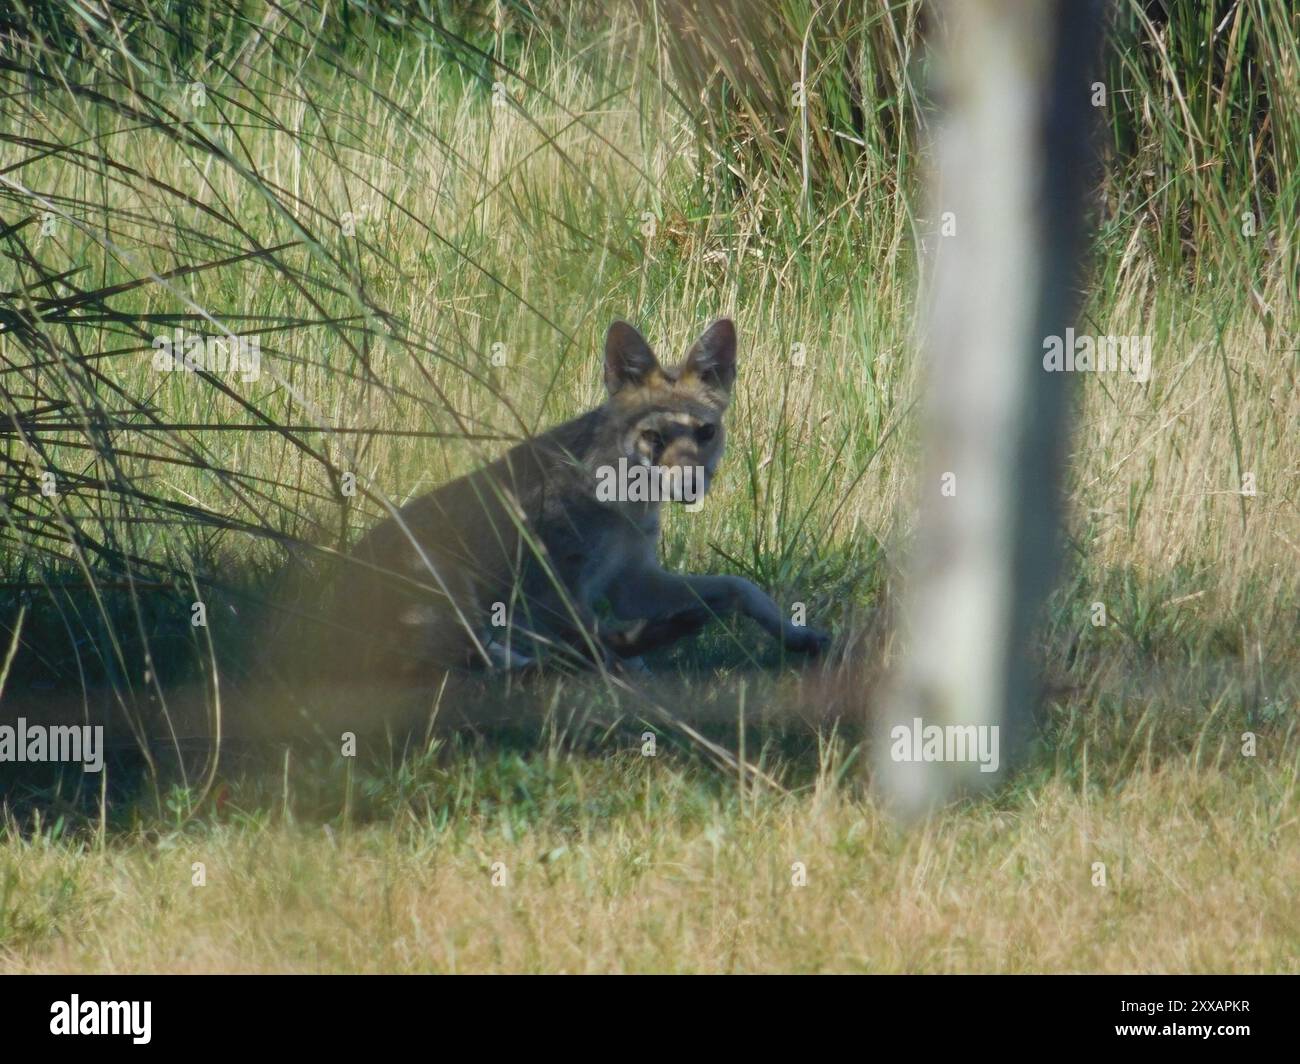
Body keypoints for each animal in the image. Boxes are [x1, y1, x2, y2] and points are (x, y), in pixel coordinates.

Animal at [332, 318, 829, 677]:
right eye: (654, 437)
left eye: (705, 432)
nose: (690, 485)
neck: (625, 509)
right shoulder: (557, 592)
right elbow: (600, 648)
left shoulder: (630, 582)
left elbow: (741, 587)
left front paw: (795, 634)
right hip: (455, 589)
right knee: (495, 668)